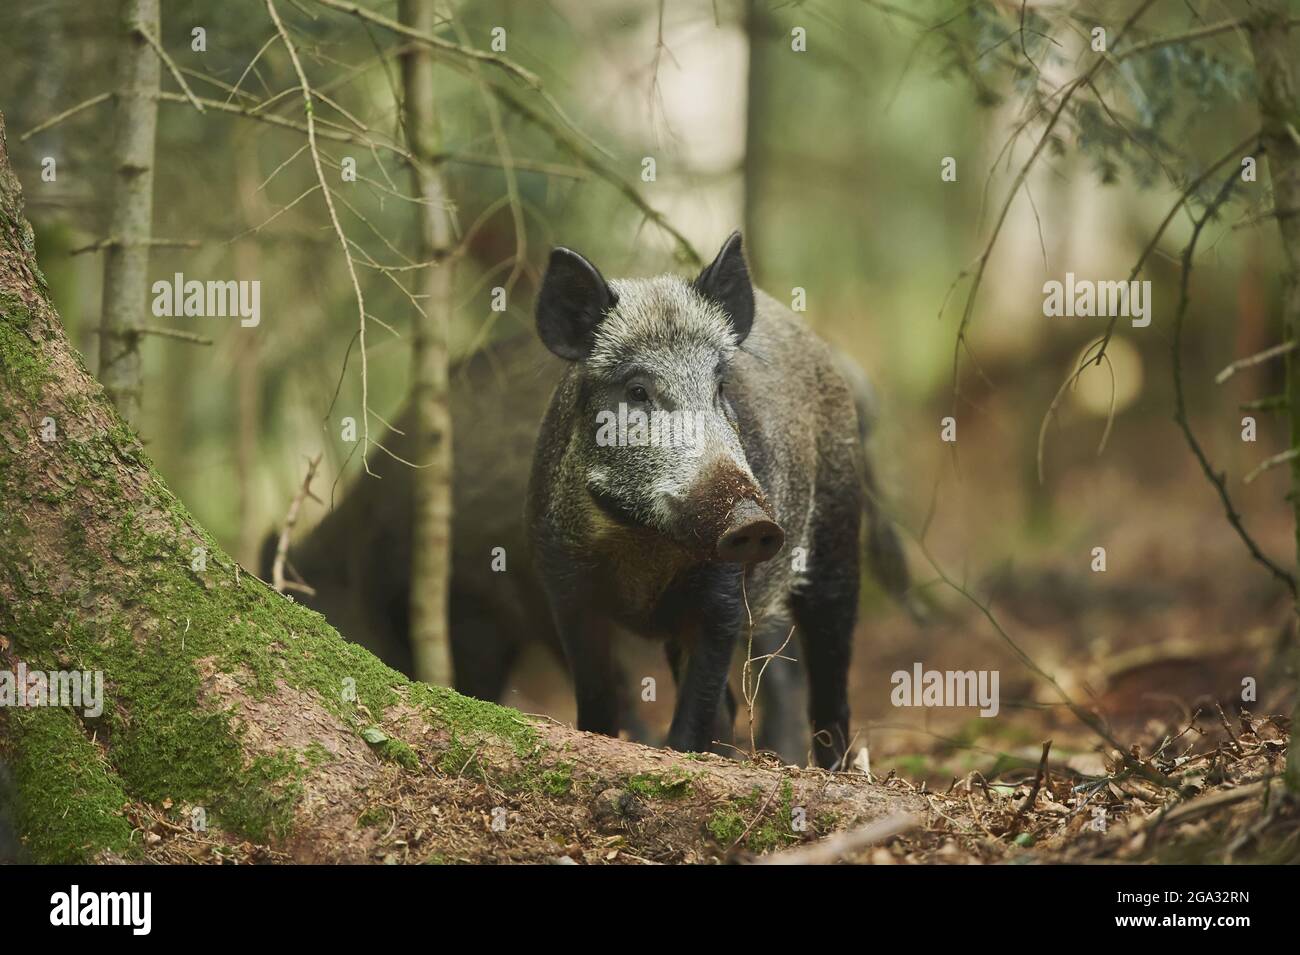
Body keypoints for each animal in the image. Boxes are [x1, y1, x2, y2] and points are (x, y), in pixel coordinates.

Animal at [526, 231, 888, 769]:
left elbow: (693, 715)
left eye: (720, 387)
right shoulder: (564, 584)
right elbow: (596, 702)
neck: (640, 543)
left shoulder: (722, 596)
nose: (754, 521)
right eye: (637, 390)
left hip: (838, 536)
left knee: (830, 683)